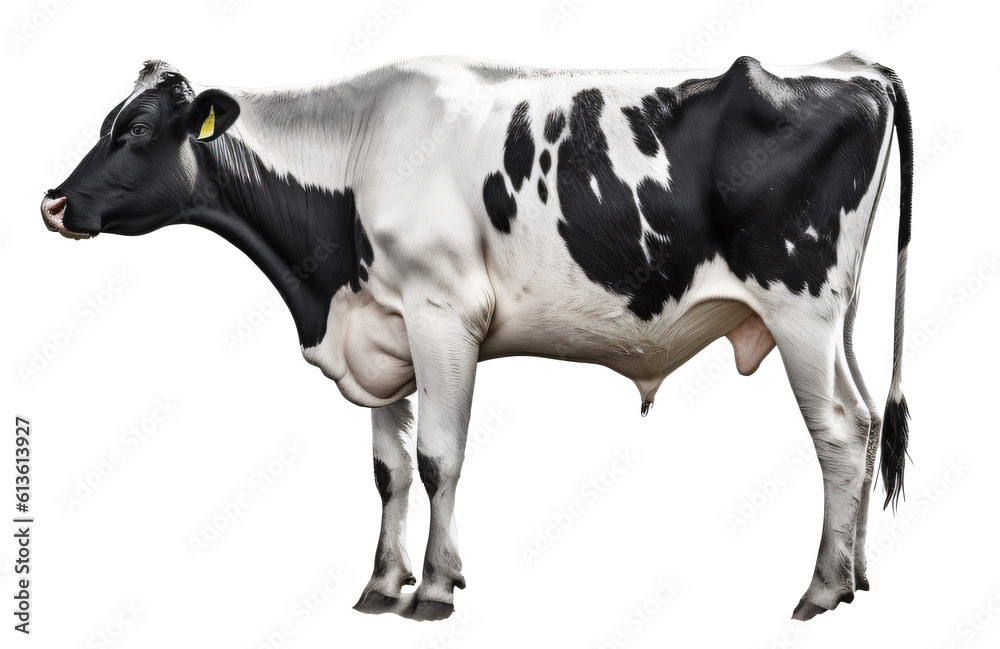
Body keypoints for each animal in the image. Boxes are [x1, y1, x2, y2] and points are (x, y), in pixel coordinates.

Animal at [40, 51, 912, 622]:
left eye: (136, 129)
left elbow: (438, 459)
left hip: (798, 307)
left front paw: (431, 589)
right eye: (108, 121)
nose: (52, 202)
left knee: (837, 433)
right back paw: (860, 573)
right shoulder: (382, 331)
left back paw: (819, 588)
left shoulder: (444, 317)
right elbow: (388, 470)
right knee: (868, 419)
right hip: (839, 318)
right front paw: (382, 583)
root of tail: (853, 67)